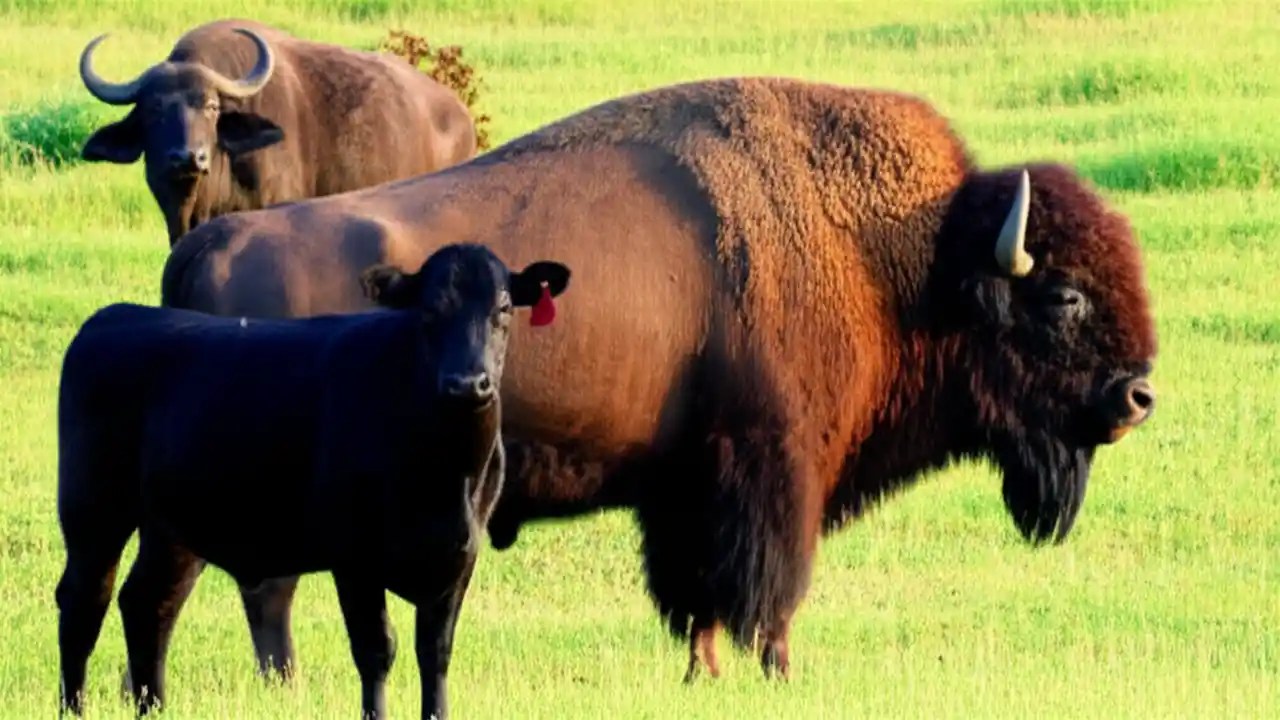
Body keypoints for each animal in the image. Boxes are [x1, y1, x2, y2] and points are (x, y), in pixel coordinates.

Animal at [53, 243, 573, 719]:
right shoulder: (355, 556)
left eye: (503, 308)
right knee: (84, 602)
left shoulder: (459, 557)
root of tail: (119, 316)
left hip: (171, 528)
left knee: (149, 605)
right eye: (428, 310)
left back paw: (155, 706)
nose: (468, 383)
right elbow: (376, 650)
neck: (447, 477)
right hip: (91, 508)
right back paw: (73, 708)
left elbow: (436, 654)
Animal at [159, 76, 1159, 684]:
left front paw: (701, 676)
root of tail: (202, 251)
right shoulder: (772, 473)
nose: (1137, 397)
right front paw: (775, 675)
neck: (904, 261)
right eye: (1064, 295)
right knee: (256, 588)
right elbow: (766, 595)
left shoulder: (687, 486)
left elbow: (697, 599)